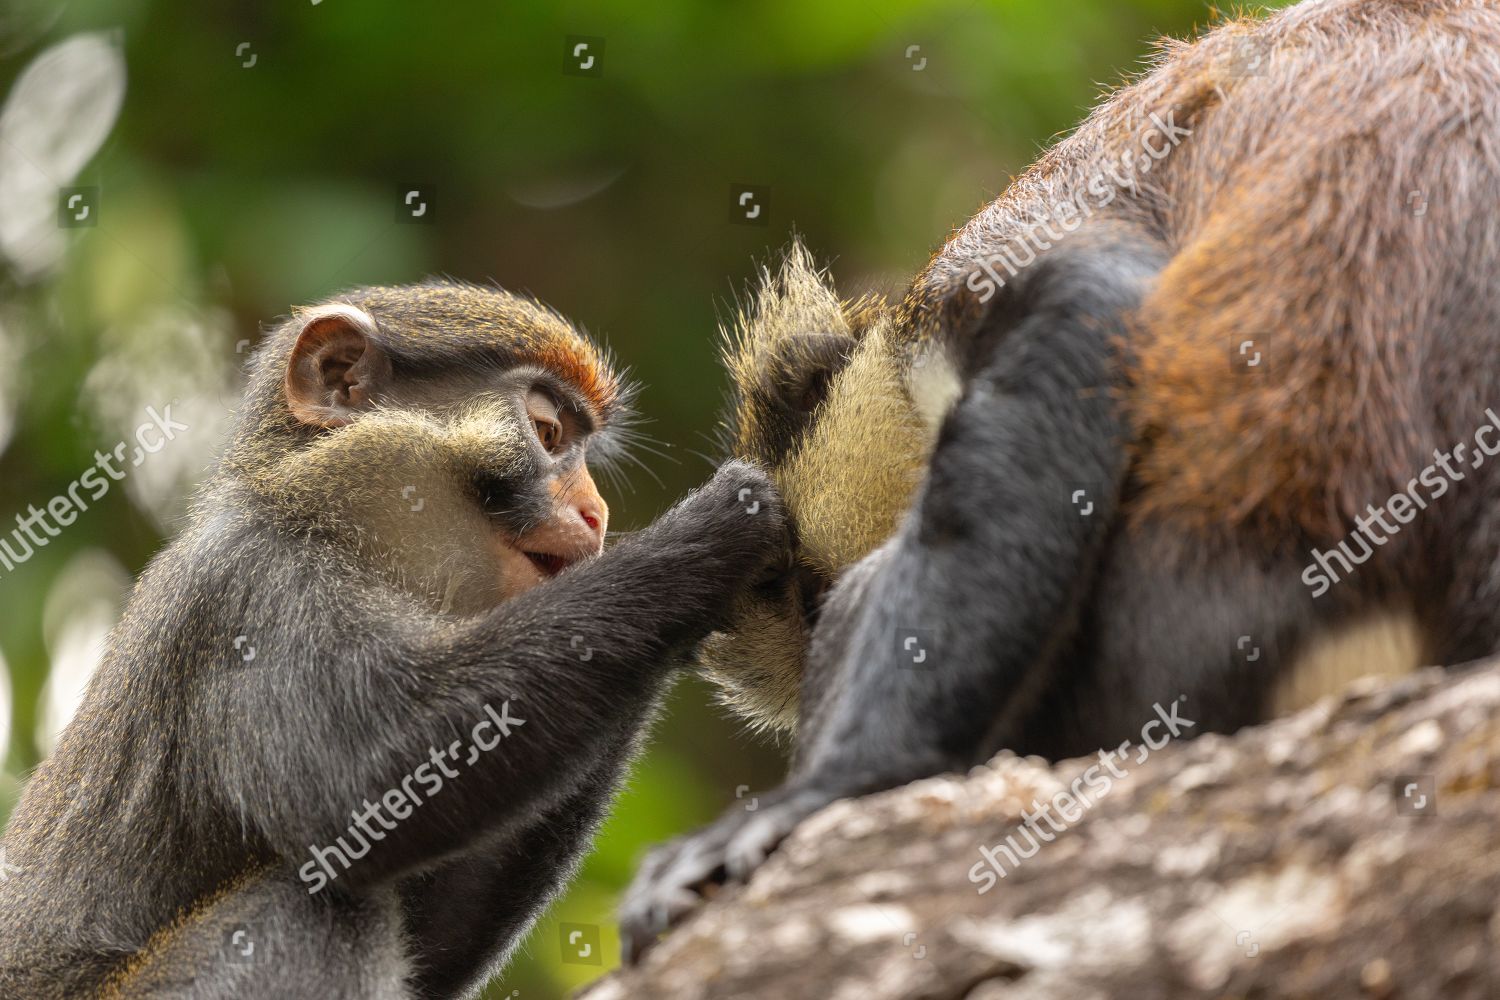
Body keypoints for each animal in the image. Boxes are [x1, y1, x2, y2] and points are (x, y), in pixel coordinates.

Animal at [0, 280, 787, 998]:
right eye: (549, 434)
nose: (595, 514)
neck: (317, 517)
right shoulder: (250, 592)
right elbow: (356, 790)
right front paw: (717, 528)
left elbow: (438, 933)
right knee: (308, 909)